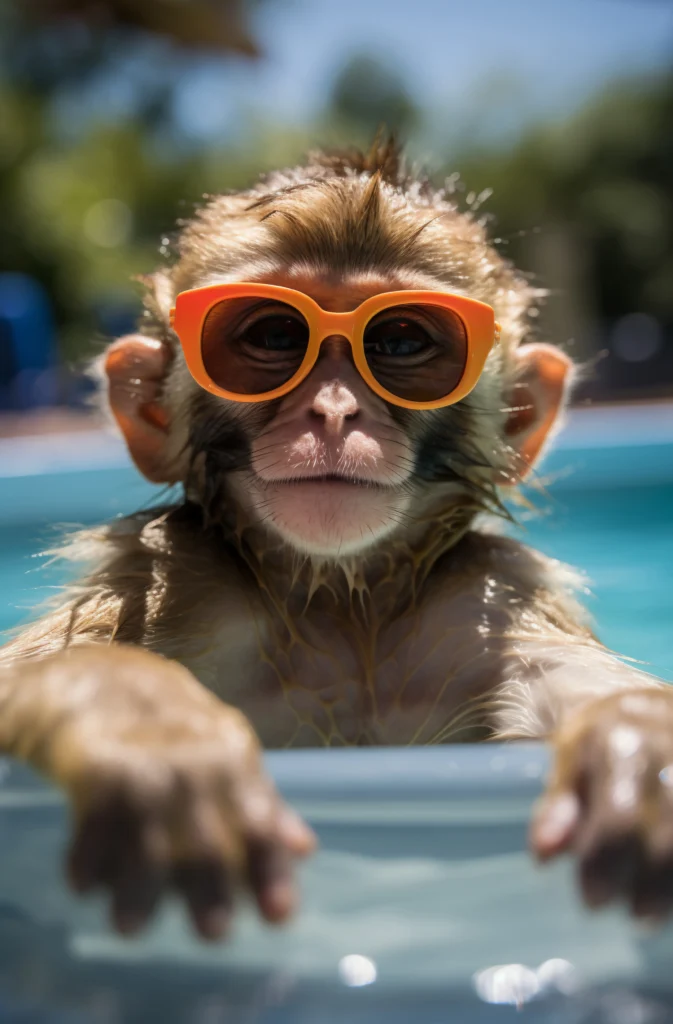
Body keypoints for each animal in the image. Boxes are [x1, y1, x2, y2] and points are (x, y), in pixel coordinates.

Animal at [1, 137, 672, 942]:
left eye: (402, 340)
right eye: (273, 335)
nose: (333, 411)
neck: (341, 605)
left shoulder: (482, 595)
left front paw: (640, 740)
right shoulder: (179, 578)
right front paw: (147, 733)